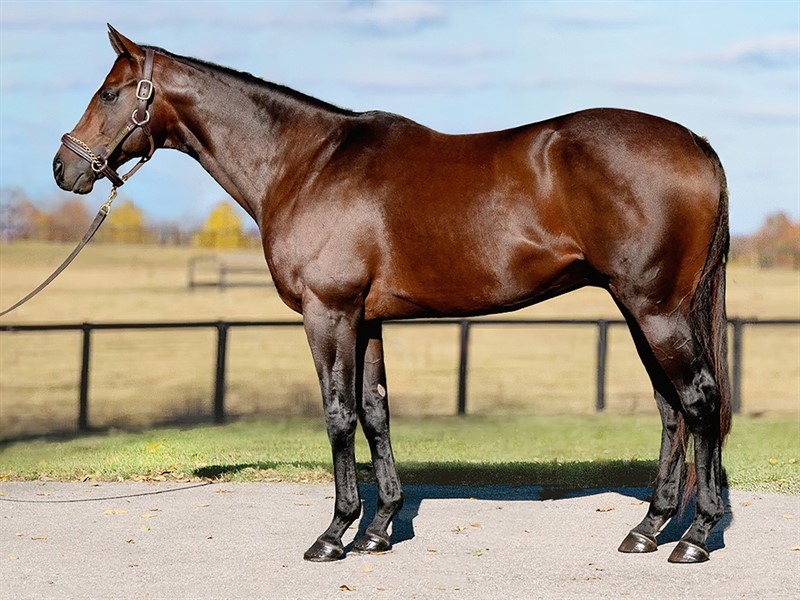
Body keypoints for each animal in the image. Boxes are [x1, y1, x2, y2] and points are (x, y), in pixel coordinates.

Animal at [54, 26, 731, 564]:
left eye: (109, 93)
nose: (65, 168)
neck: (306, 164)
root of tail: (697, 144)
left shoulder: (327, 312)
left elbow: (338, 414)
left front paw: (333, 535)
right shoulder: (367, 319)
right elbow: (375, 411)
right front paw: (378, 530)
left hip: (655, 309)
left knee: (698, 400)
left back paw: (694, 537)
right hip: (638, 309)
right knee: (672, 408)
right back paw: (647, 530)